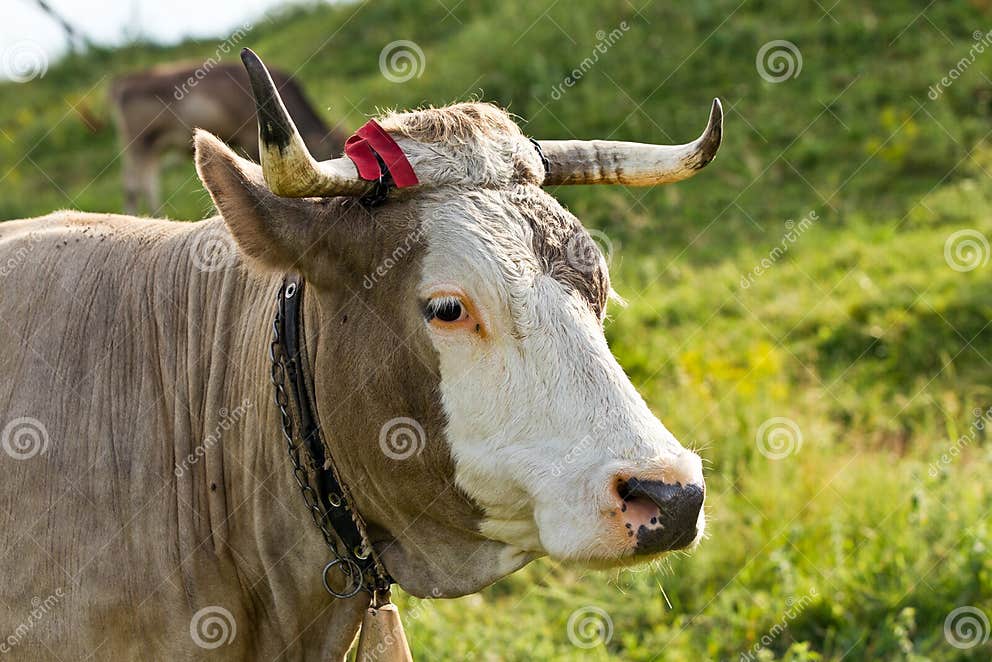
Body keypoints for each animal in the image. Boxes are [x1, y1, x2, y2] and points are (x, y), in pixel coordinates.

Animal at [109, 60, 347, 215]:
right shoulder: (250, 139)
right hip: (140, 143)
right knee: (139, 184)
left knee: (139, 184)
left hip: (148, 147)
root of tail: (126, 82)